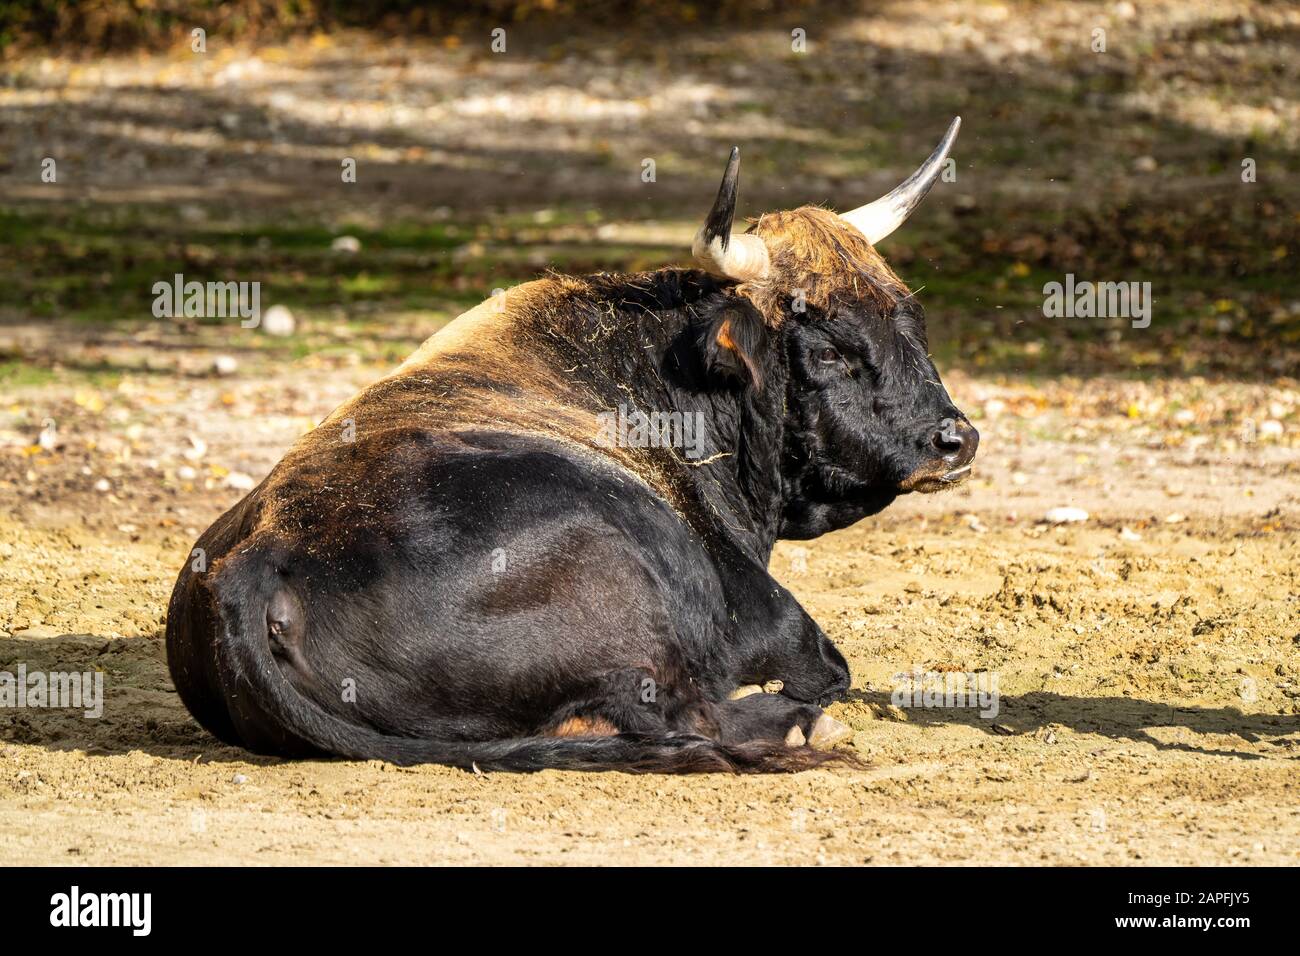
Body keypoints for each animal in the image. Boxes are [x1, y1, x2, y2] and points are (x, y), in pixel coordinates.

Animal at [165, 118, 978, 774]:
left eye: (910, 319)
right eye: (830, 348)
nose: (955, 439)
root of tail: (264, 552)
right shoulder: (769, 617)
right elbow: (826, 664)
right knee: (685, 714)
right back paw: (798, 725)